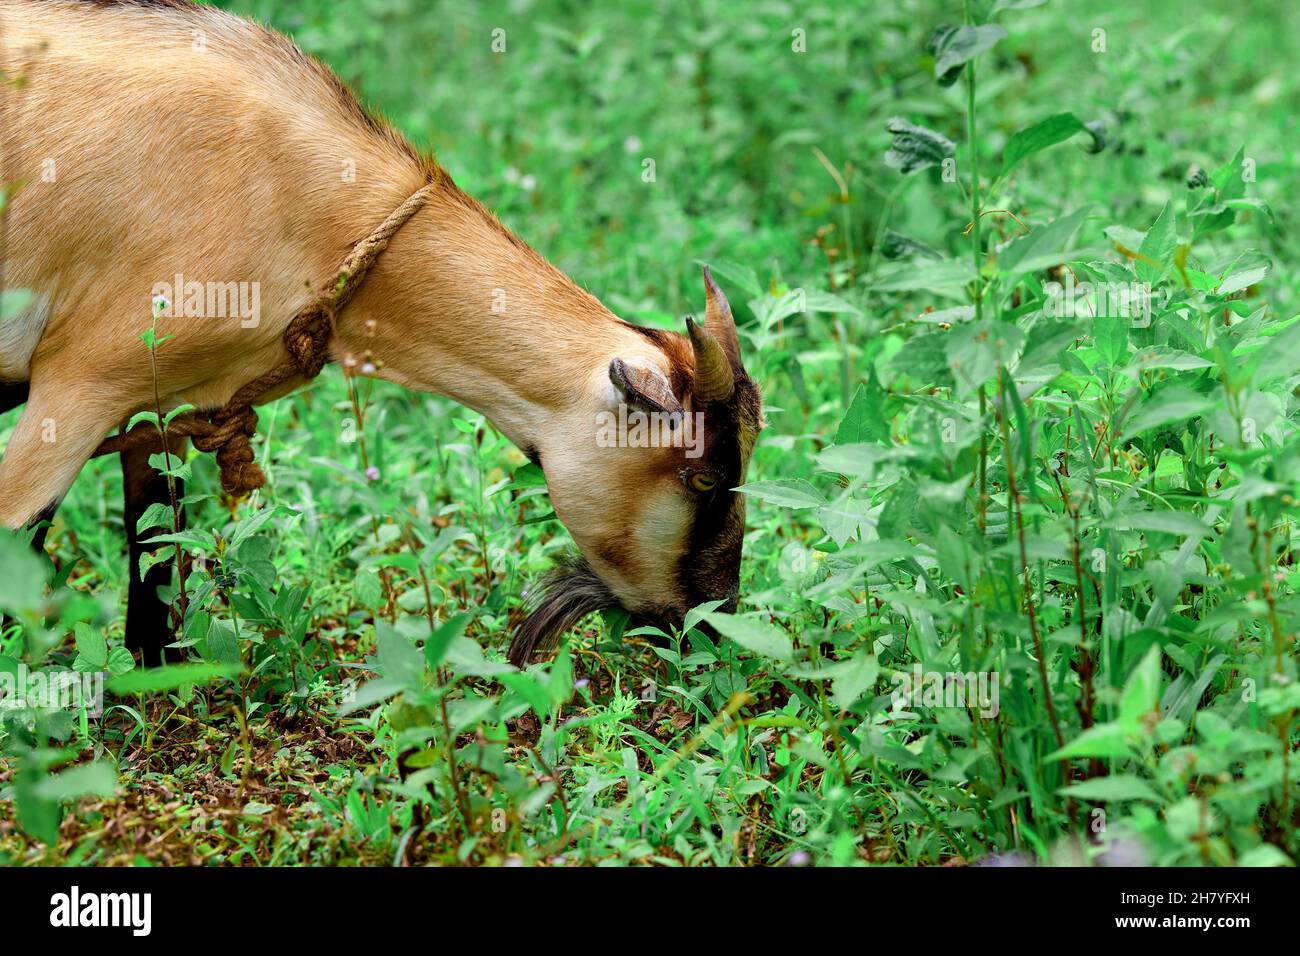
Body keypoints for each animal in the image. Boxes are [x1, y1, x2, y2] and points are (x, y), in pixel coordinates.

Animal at [0, 0, 763, 666]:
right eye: (702, 478)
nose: (709, 621)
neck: (297, 192)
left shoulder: (158, 405)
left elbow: (154, 543)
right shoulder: (80, 385)